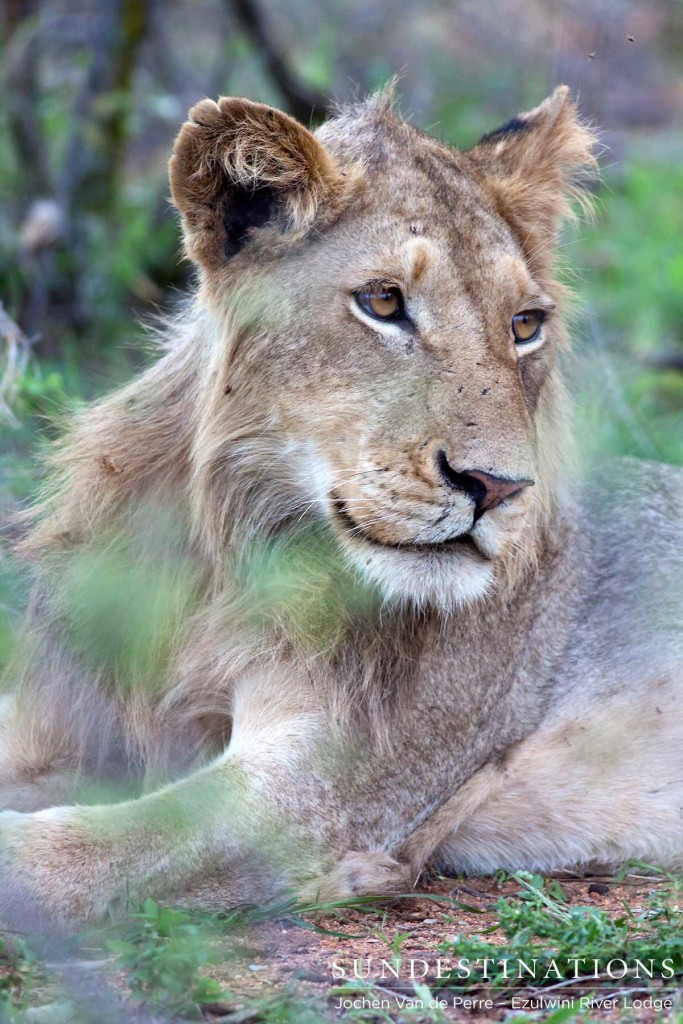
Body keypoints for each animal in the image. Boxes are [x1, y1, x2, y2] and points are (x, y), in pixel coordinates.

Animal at [0, 85, 681, 933]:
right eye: (383, 302)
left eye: (523, 325)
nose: (497, 487)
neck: (231, 555)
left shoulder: (328, 788)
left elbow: (84, 851)